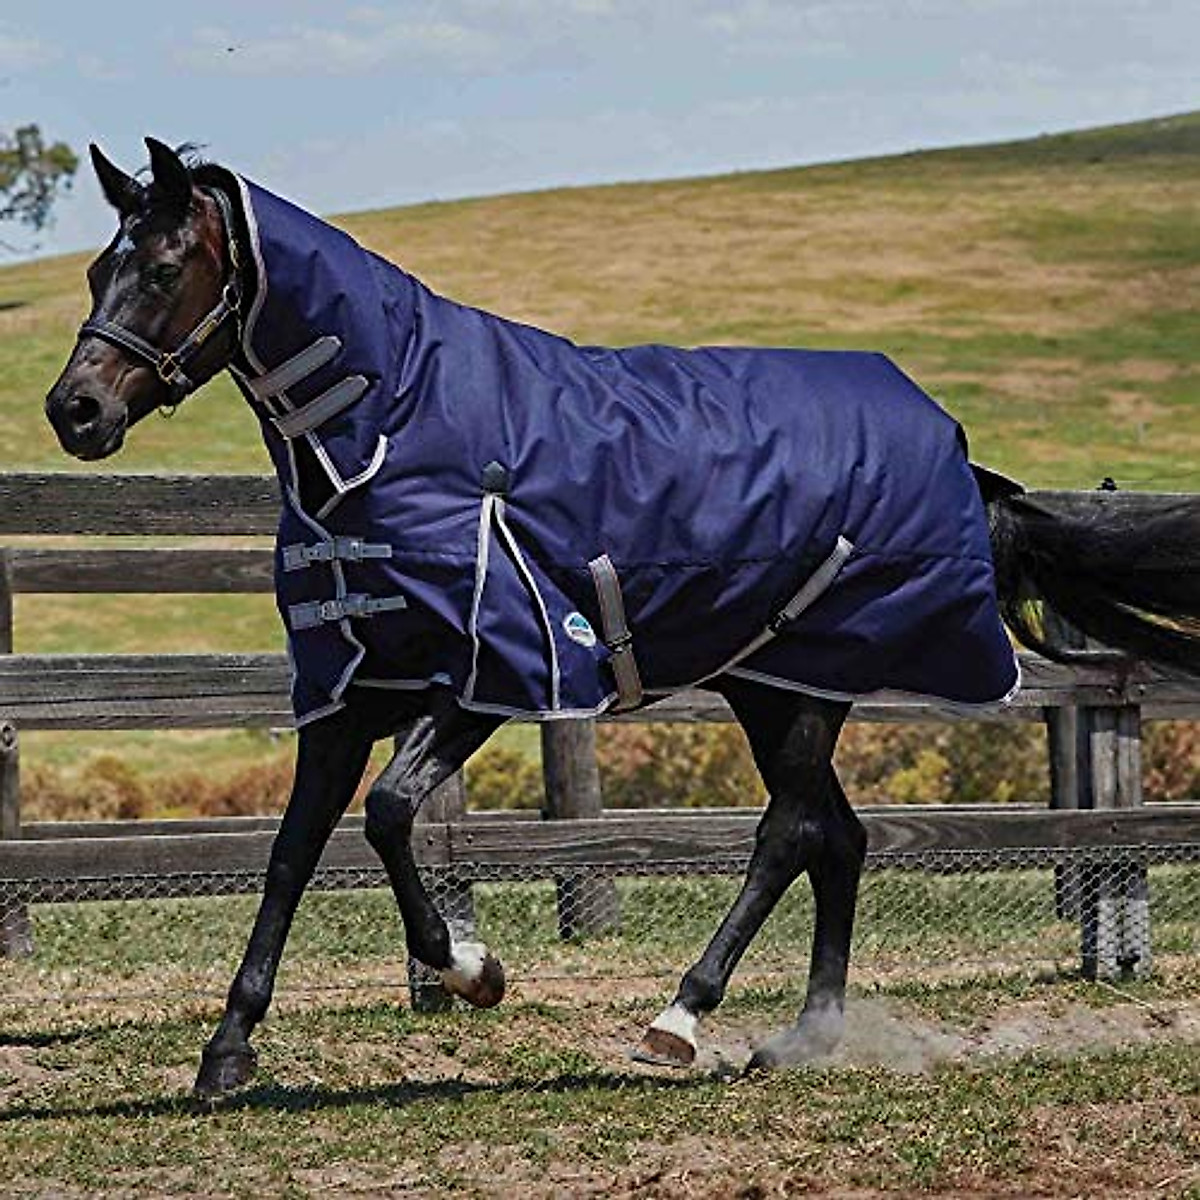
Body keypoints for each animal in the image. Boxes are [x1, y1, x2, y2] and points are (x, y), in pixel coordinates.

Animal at [45, 139, 1200, 1099]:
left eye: (162, 269)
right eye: (98, 271)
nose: (75, 412)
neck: (391, 427)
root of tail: (960, 453)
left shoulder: (496, 677)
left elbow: (390, 814)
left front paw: (473, 971)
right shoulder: (348, 695)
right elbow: (291, 854)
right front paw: (227, 1053)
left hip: (804, 687)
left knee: (791, 833)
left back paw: (680, 1018)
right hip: (772, 685)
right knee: (839, 836)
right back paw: (806, 1036)